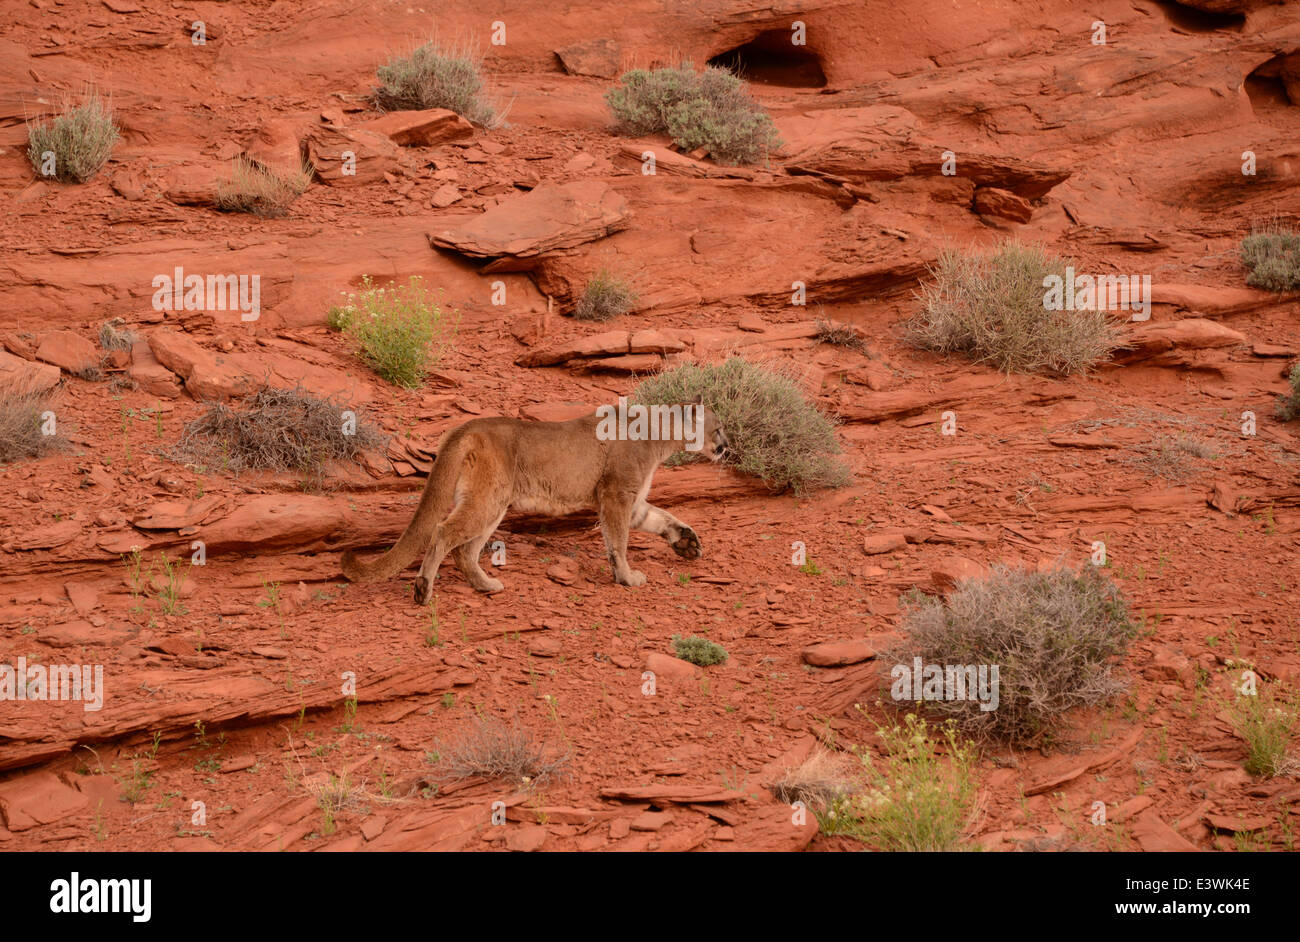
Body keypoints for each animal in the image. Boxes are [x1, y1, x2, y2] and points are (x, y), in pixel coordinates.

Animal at [341, 399, 729, 602]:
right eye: (719, 428)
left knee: (465, 550)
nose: (727, 447)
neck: (660, 433)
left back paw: (485, 585)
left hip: (493, 503)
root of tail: (465, 428)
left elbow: (662, 518)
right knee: (443, 532)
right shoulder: (616, 494)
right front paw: (626, 577)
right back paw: (423, 589)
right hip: (488, 500)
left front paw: (687, 542)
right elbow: (618, 541)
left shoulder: (632, 502)